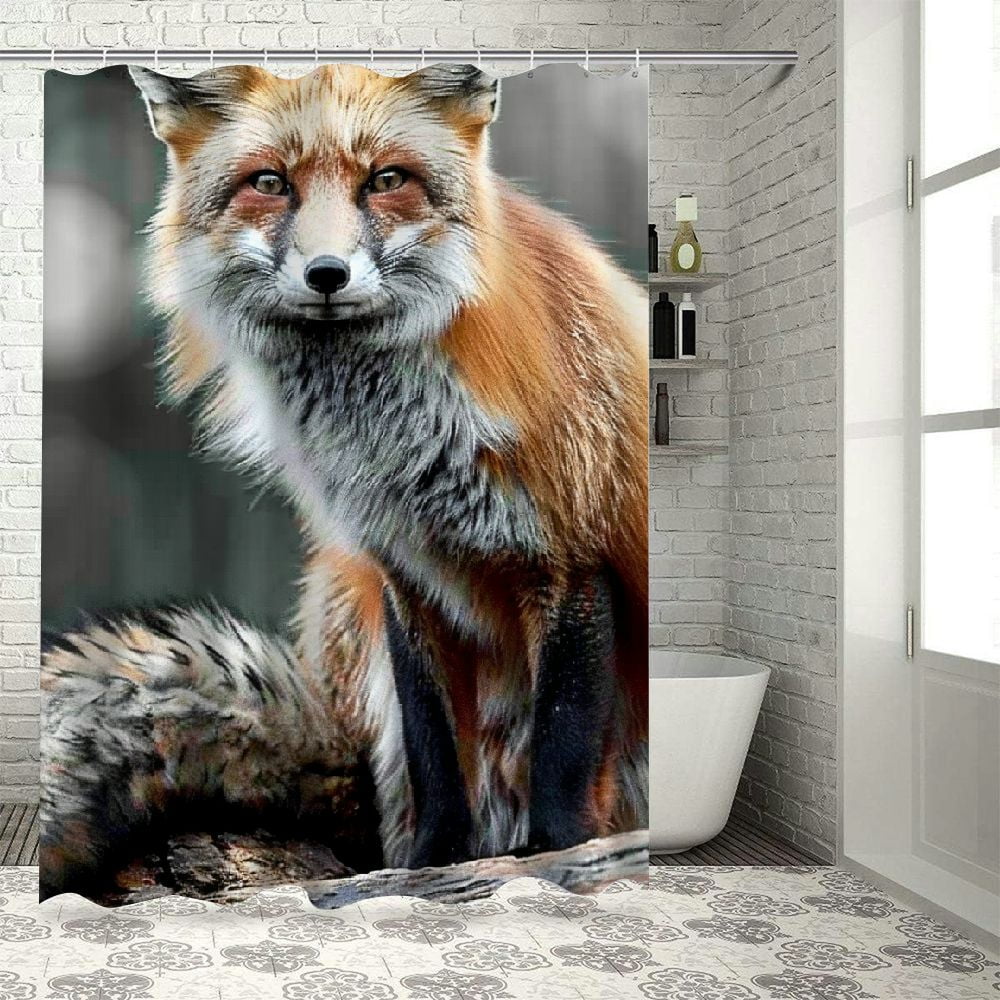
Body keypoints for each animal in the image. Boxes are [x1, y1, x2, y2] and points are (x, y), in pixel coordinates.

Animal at [40, 62, 649, 900]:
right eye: (270, 183)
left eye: (386, 180)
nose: (327, 275)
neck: (404, 444)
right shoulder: (403, 573)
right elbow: (434, 753)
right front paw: (432, 865)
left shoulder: (571, 558)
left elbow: (564, 747)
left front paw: (559, 859)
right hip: (342, 596)